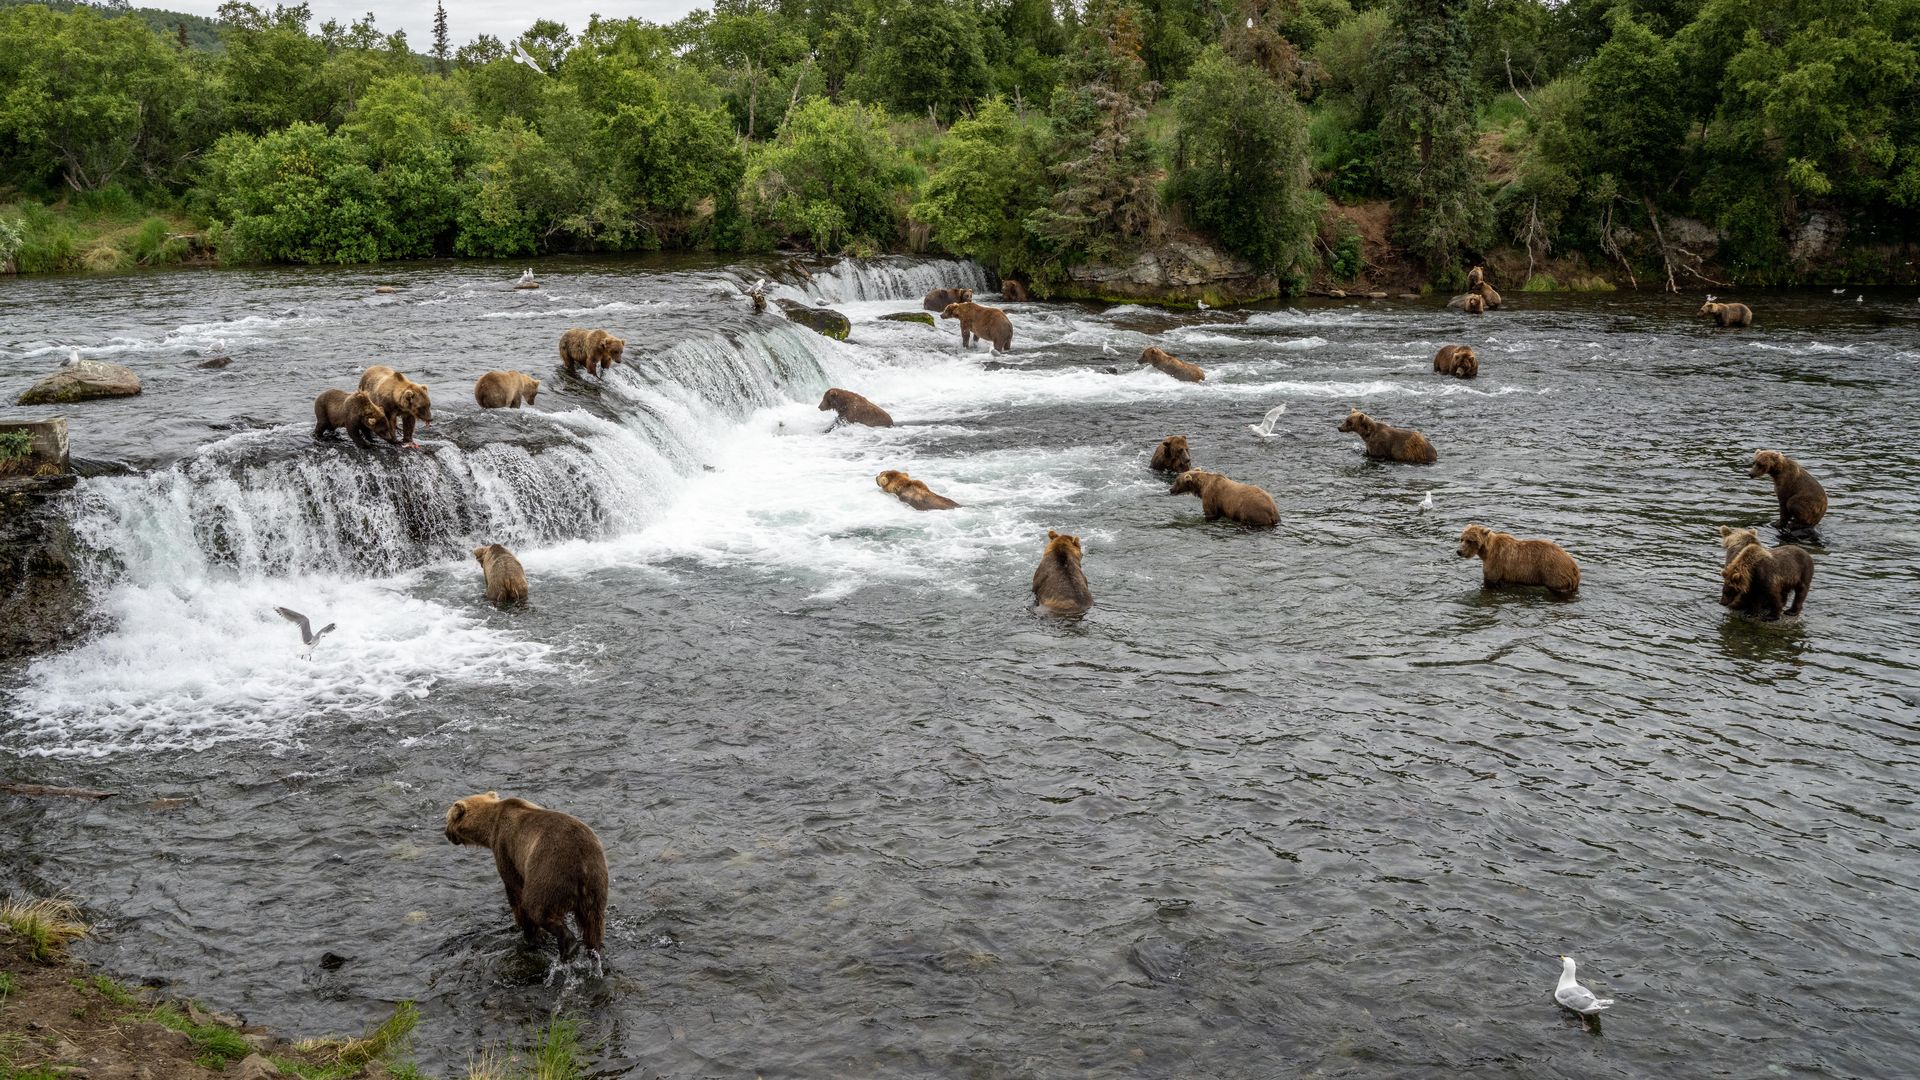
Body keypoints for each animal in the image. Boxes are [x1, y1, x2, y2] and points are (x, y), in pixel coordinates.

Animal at [444, 792, 608, 960]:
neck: (491, 827)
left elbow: (515, 891)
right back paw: (593, 950)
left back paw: (568, 945)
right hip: (596, 880)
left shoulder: (506, 849)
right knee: (594, 922)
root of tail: (582, 865)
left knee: (536, 907)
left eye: (447, 819)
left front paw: (530, 933)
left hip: (550, 870)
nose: (446, 833)